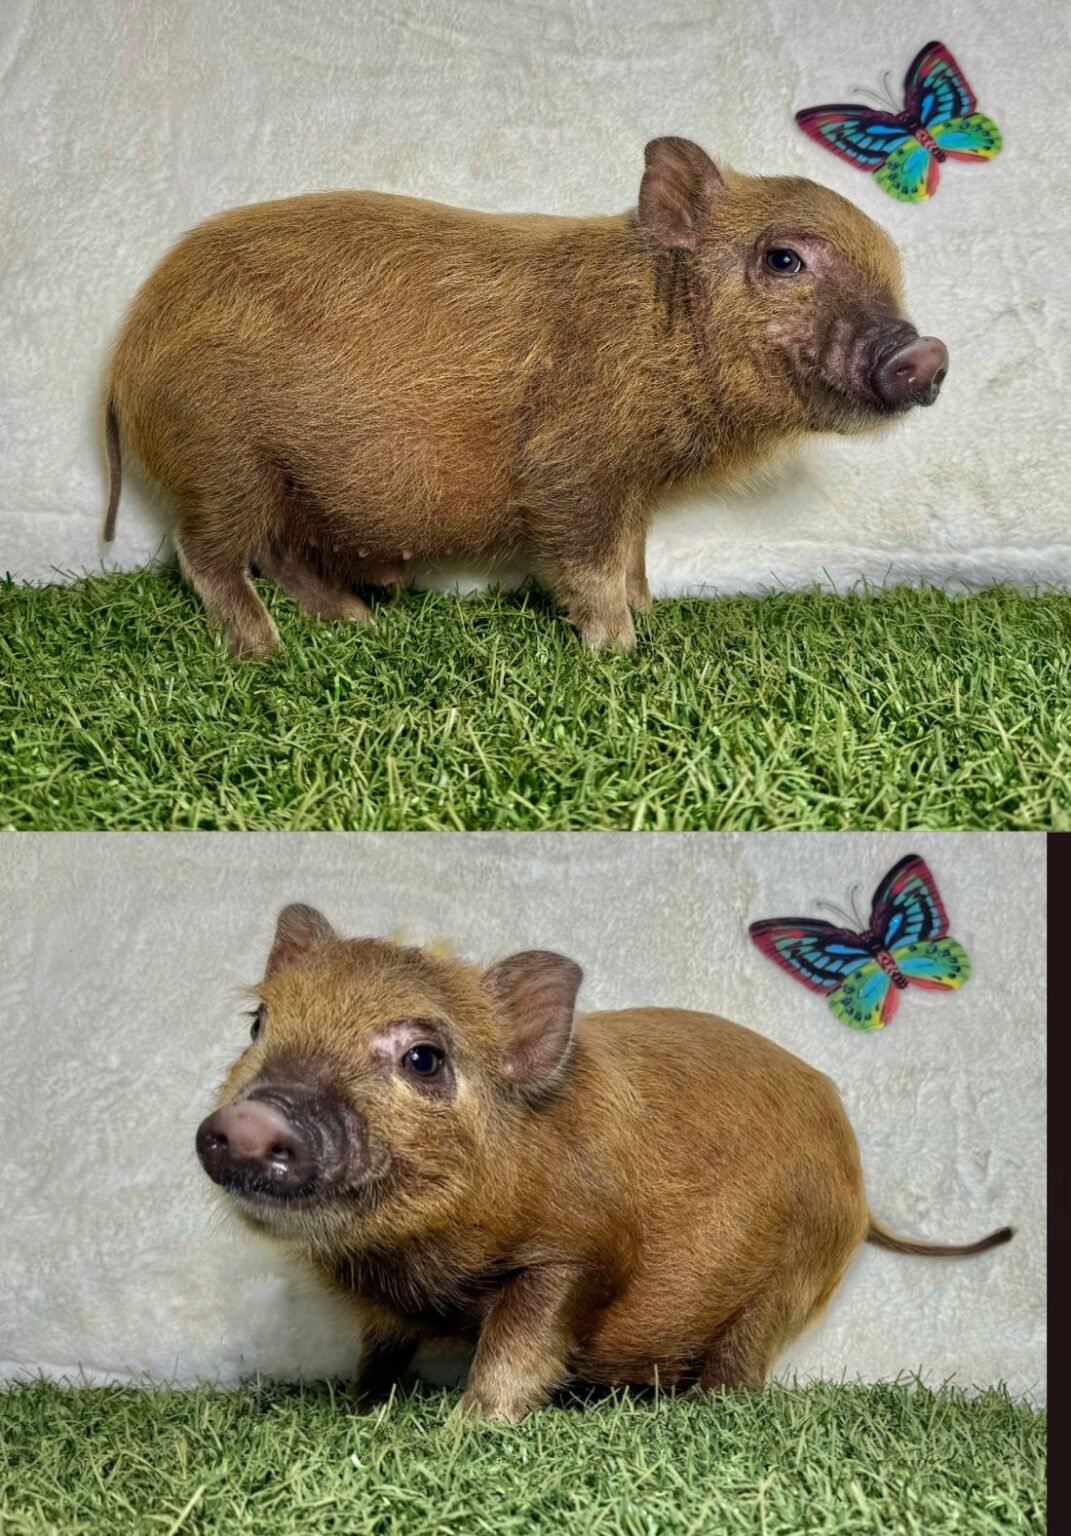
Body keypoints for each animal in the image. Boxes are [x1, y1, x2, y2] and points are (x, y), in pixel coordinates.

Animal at [104, 137, 948, 658]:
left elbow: (634, 556)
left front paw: (651, 620)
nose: (927, 353)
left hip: (280, 480)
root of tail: (125, 353)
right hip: (219, 456)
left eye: (891, 266)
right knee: (205, 556)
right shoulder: (573, 464)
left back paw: (355, 623)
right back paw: (266, 654)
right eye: (782, 260)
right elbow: (589, 564)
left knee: (275, 551)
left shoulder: (633, 486)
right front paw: (617, 653)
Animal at [195, 906, 1010, 1422]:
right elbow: (379, 1355)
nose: (248, 1121)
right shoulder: (386, 1307)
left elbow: (519, 1345)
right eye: (259, 1023)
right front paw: (359, 1415)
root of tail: (863, 1193)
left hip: (791, 1277)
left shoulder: (579, 1251)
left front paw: (466, 1430)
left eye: (423, 1059)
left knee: (741, 1371)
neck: (417, 1267)